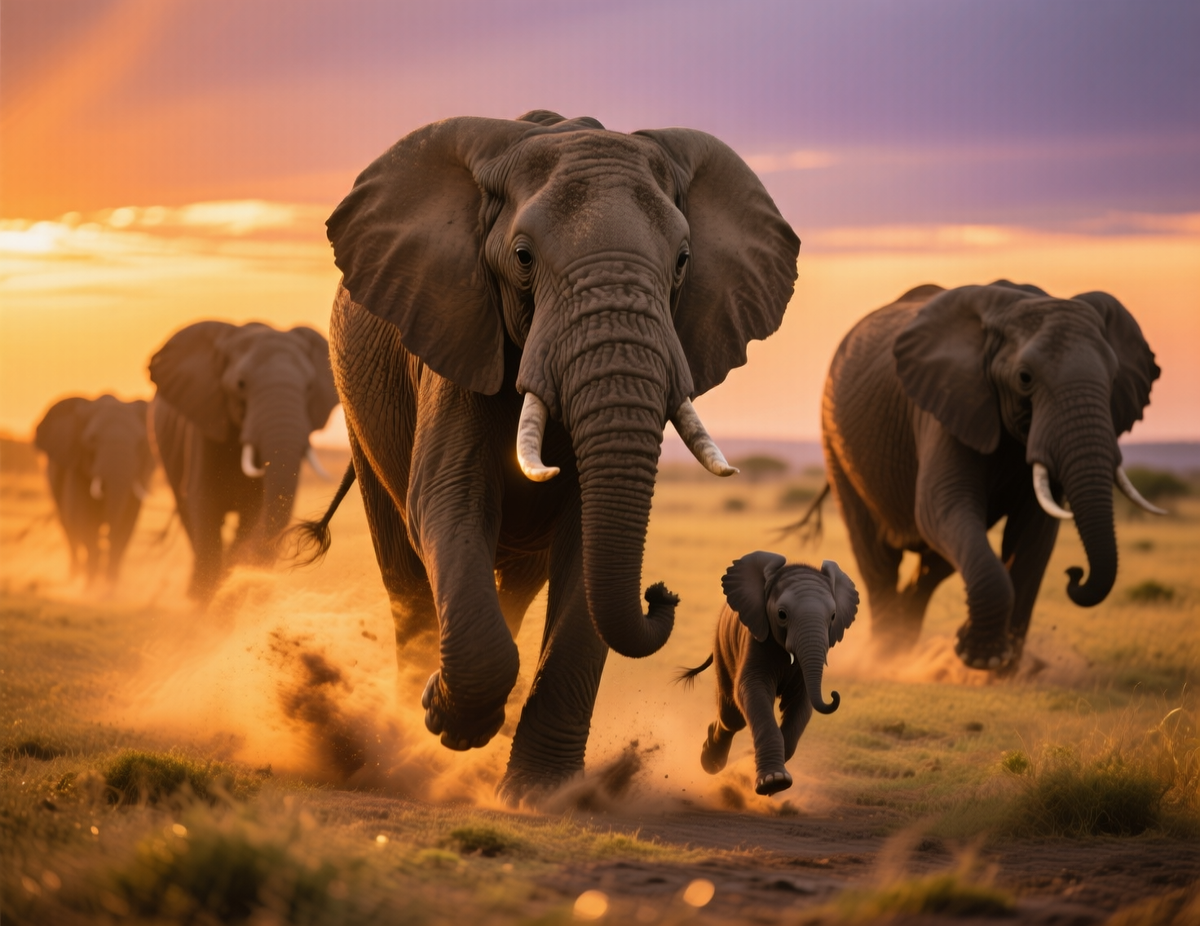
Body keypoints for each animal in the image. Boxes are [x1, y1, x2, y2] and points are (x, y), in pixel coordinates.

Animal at [34, 394, 155, 583]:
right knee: (68, 528)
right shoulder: (76, 467)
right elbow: (85, 522)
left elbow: (127, 524)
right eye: (92, 440)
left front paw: (110, 585)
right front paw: (91, 584)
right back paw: (75, 575)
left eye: (141, 443)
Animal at [148, 320, 340, 601]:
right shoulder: (205, 423)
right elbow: (204, 505)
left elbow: (254, 512)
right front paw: (210, 599)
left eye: (309, 388)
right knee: (188, 514)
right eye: (240, 384)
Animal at [306, 110, 799, 801]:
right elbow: (448, 502)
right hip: (359, 411)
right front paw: (443, 717)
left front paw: (537, 795)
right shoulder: (458, 331)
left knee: (517, 581)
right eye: (523, 258)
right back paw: (403, 738)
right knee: (404, 568)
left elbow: (584, 551)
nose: (661, 594)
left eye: (682, 262)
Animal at [677, 551, 858, 795]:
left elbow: (801, 703)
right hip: (722, 645)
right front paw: (773, 781)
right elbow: (753, 690)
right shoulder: (755, 640)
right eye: (781, 614)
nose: (834, 695)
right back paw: (710, 762)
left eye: (833, 616)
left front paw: (755, 767)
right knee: (731, 716)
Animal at [820, 280, 1162, 671]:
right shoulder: (947, 402)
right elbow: (940, 507)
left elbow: (1035, 532)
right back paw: (884, 658)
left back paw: (905, 649)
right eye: (1025, 378)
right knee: (879, 561)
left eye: (1114, 379)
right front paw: (980, 658)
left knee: (934, 564)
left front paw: (1000, 669)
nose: (1075, 575)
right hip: (835, 443)